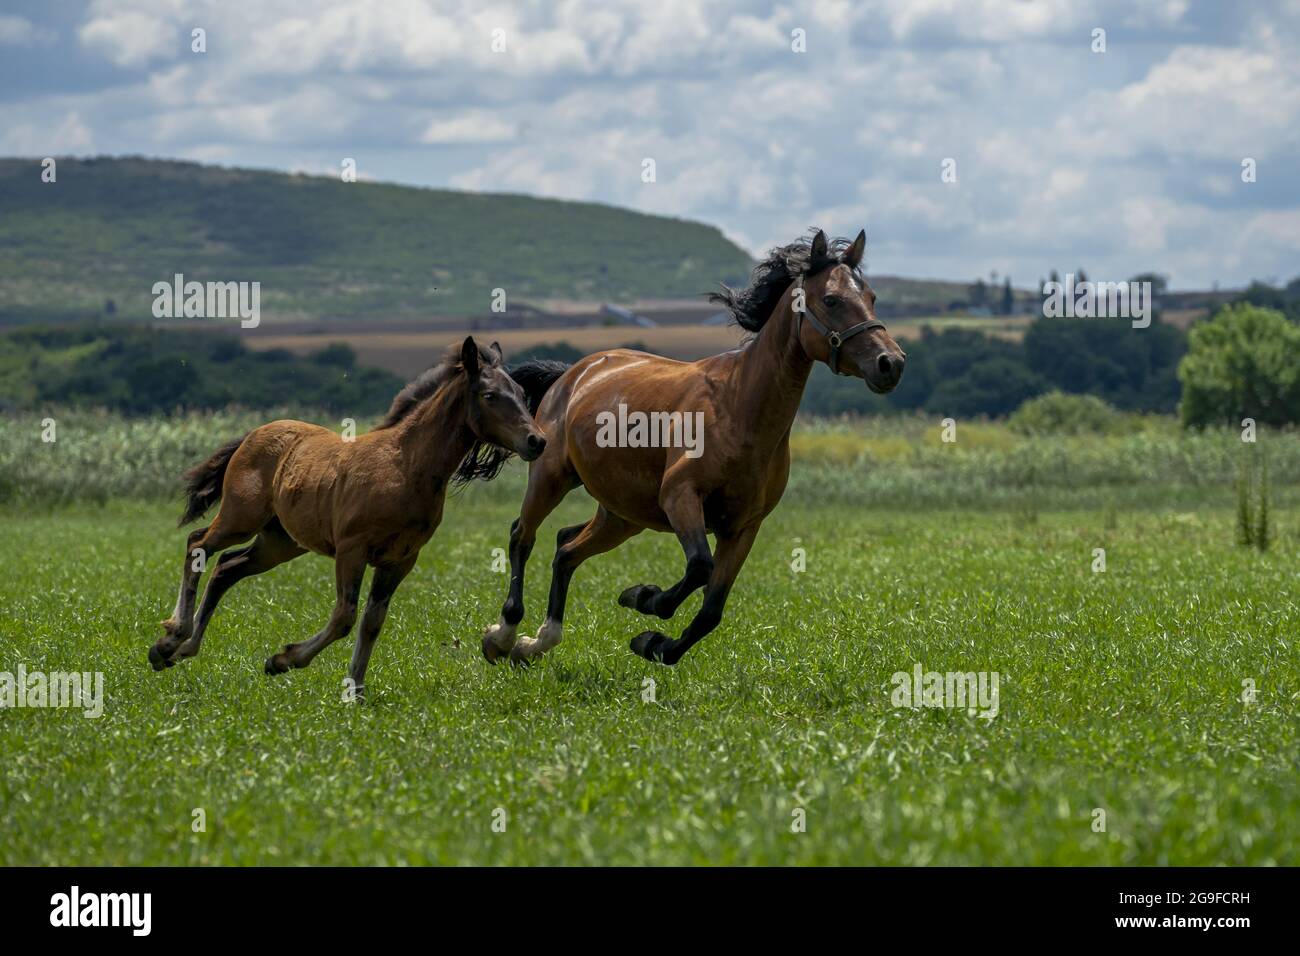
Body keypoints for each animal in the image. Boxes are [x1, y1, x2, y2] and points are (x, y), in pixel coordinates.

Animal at [147, 336, 546, 696]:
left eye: (520, 393)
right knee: (198, 544)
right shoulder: (352, 550)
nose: (537, 441)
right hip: (240, 518)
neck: (407, 465)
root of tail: (253, 434)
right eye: (489, 395)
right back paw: (172, 638)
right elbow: (344, 617)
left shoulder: (400, 560)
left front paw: (355, 689)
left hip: (280, 542)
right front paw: (283, 660)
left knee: (226, 568)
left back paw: (178, 650)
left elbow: (372, 622)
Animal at [478, 229, 905, 666]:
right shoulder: (681, 496)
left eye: (871, 296)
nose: (891, 363)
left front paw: (652, 641)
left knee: (565, 548)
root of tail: (573, 374)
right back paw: (504, 636)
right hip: (551, 477)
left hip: (623, 514)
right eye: (832, 300)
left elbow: (711, 610)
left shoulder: (744, 528)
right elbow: (700, 566)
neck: (739, 407)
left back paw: (537, 642)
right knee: (522, 536)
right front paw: (645, 598)